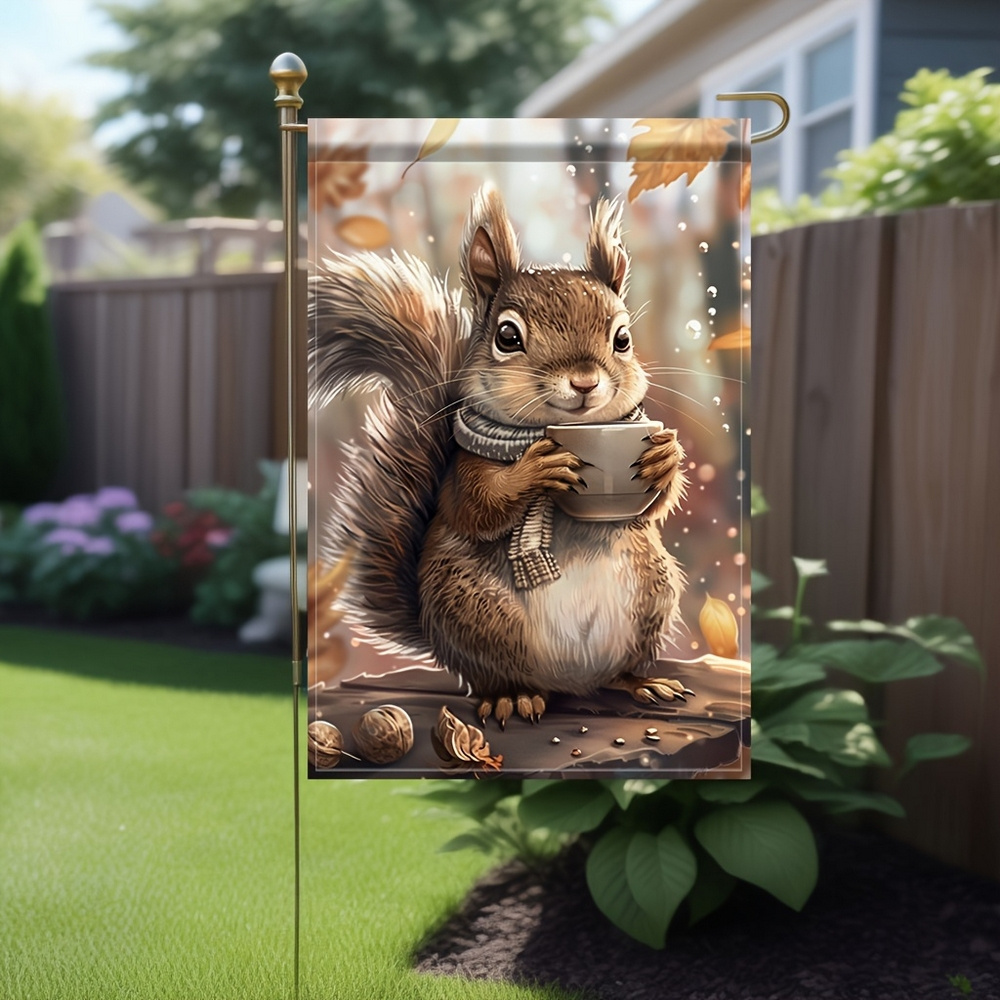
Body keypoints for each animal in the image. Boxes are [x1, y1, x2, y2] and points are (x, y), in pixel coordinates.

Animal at [310, 185, 691, 728]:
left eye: (623, 339)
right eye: (507, 337)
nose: (584, 382)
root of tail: (570, 681)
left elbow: (650, 509)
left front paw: (664, 457)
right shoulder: (463, 471)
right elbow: (478, 508)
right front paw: (536, 468)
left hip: (652, 593)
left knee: (618, 671)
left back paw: (642, 682)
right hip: (479, 615)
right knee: (497, 677)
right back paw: (513, 696)